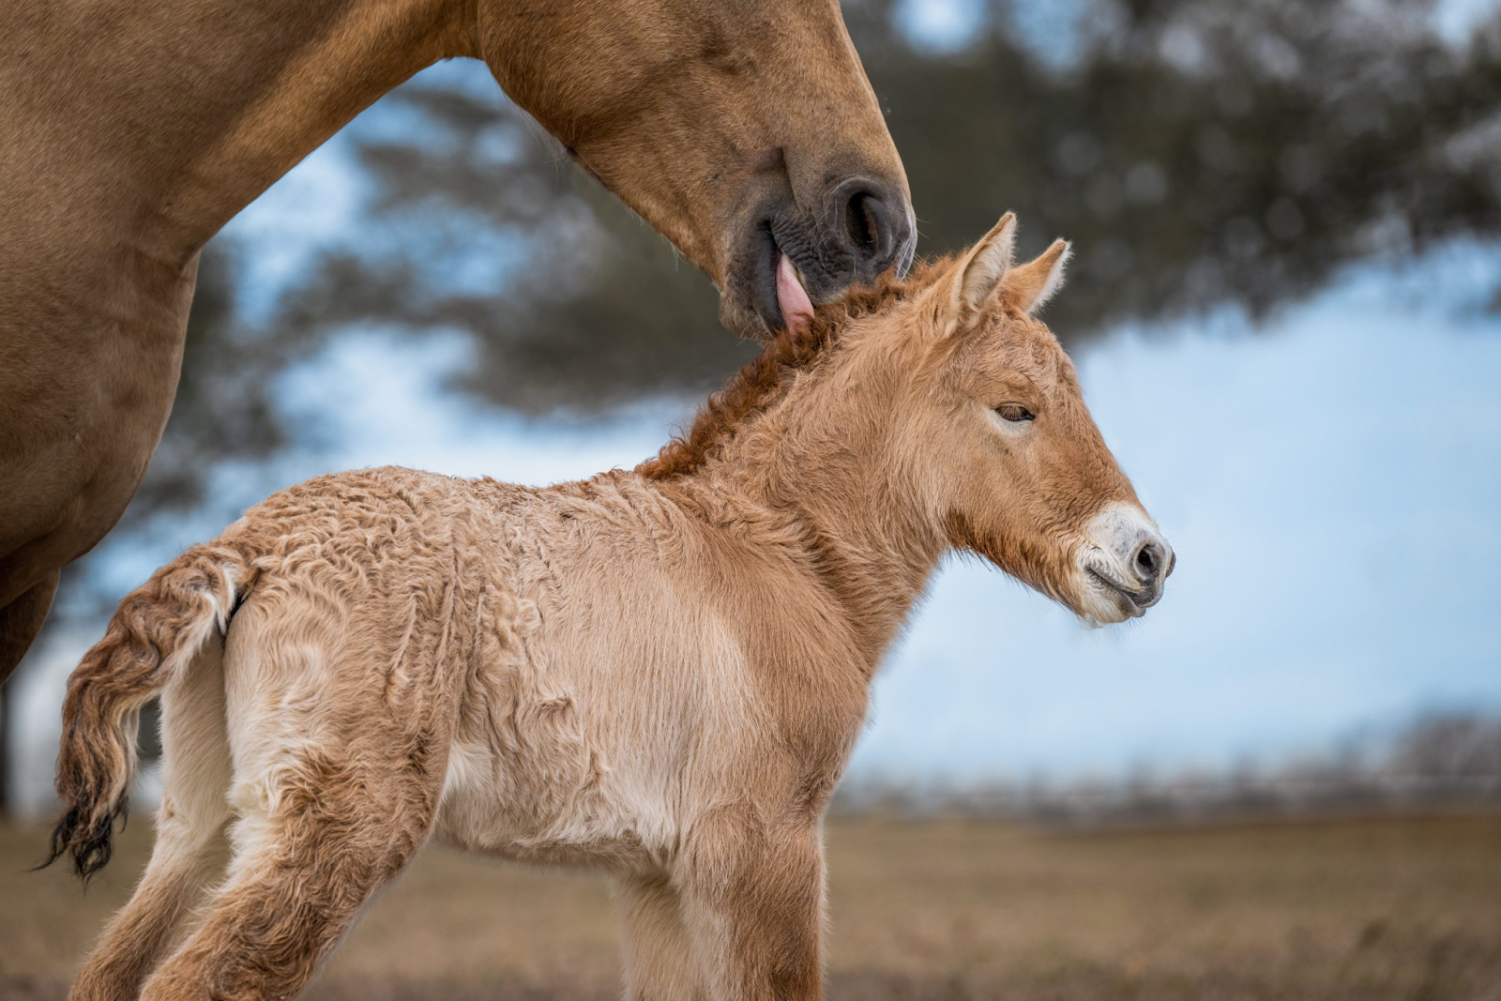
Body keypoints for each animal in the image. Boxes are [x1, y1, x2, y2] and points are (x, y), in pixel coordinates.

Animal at [47, 213, 1172, 1001]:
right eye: (1015, 408)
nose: (1146, 556)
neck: (771, 549)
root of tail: (252, 543)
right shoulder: (761, 843)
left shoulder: (654, 872)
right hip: (337, 831)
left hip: (202, 825)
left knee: (110, 970)